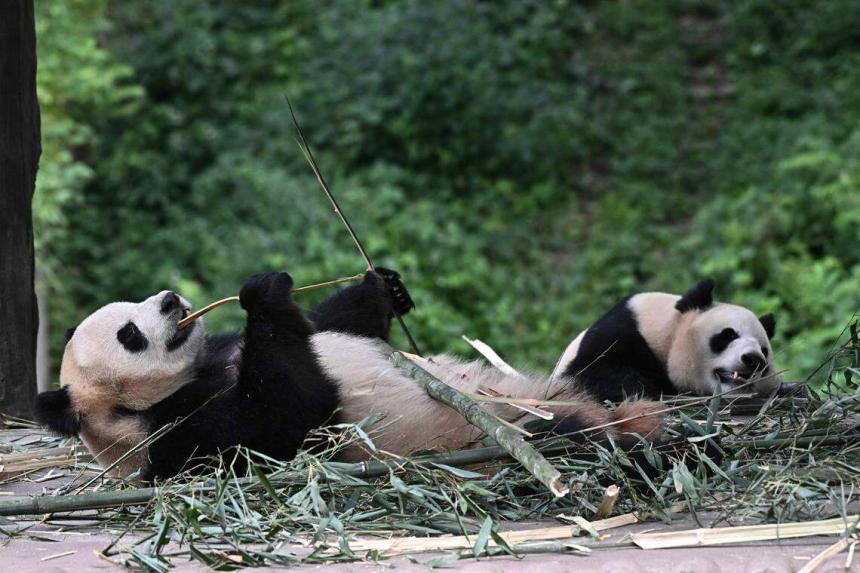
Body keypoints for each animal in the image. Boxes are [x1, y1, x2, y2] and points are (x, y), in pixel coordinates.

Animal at [34, 270, 665, 482]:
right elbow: (286, 415)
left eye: (135, 305)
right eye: (129, 335)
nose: (170, 300)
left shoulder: (218, 353)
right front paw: (260, 292)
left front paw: (381, 286)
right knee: (569, 440)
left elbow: (323, 325)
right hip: (492, 436)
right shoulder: (182, 440)